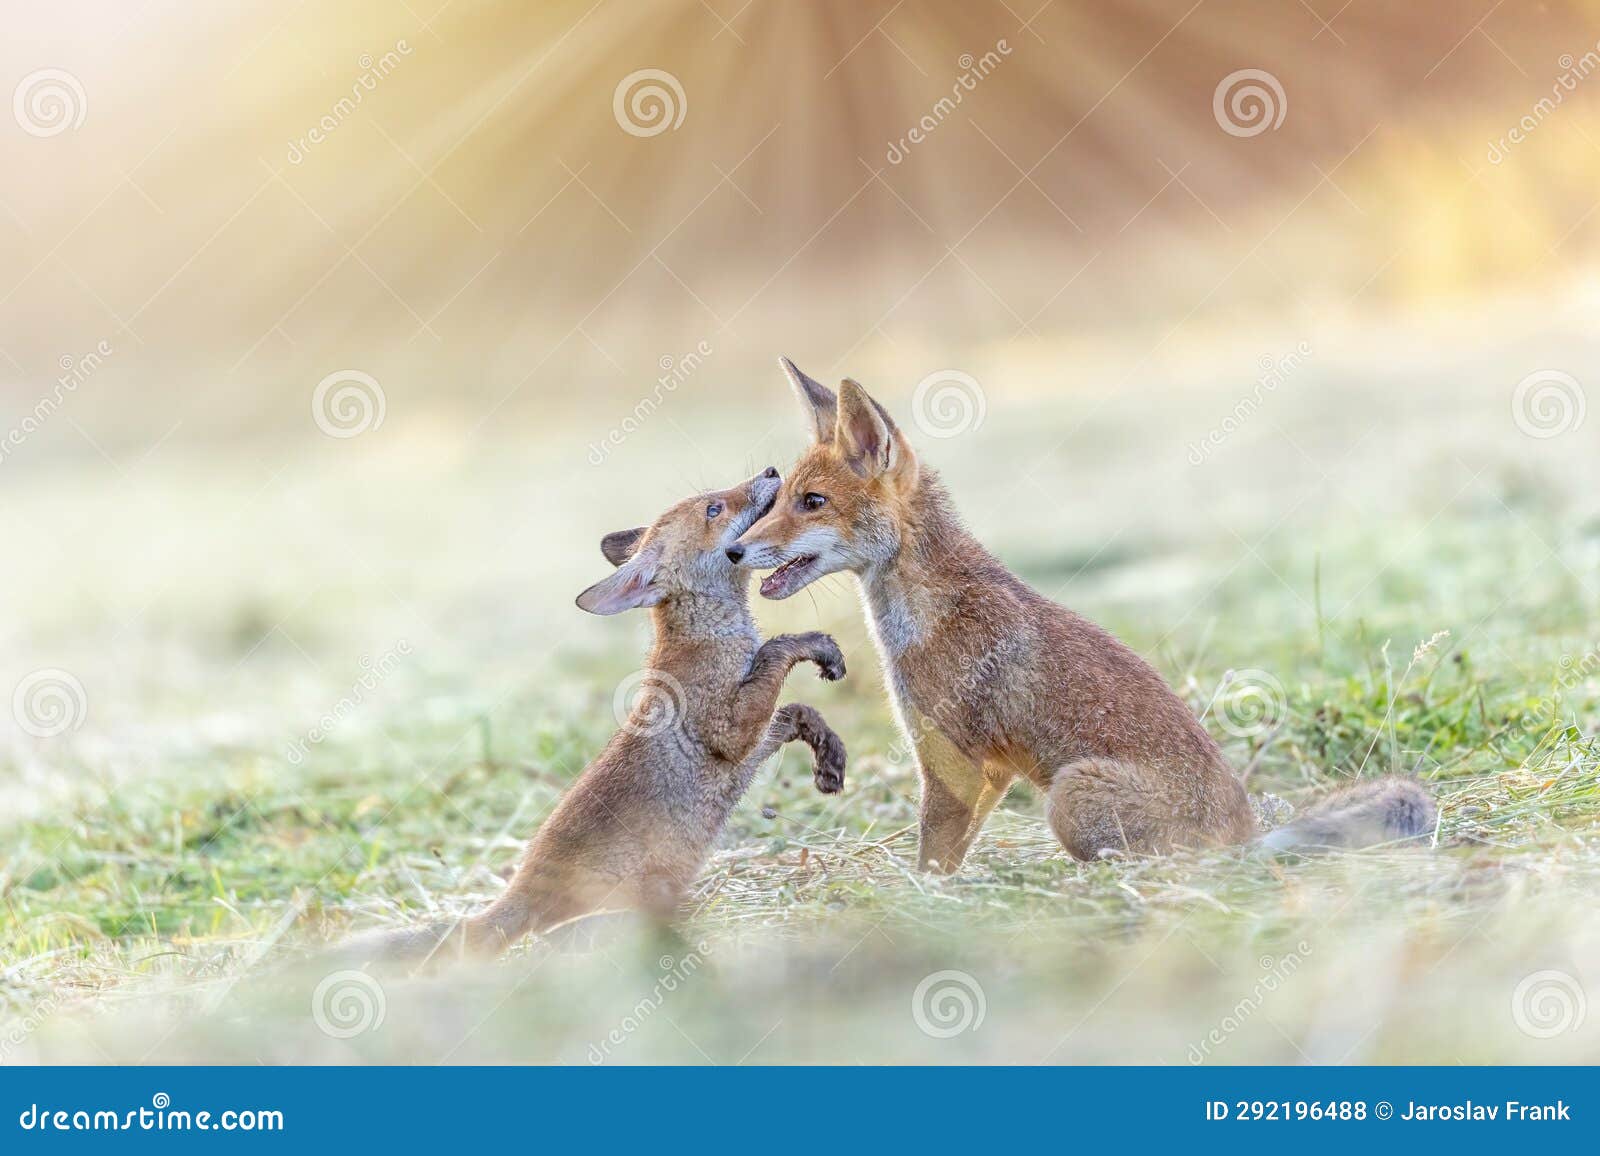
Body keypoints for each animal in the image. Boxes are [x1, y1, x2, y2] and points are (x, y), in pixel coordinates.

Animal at [347, 467, 848, 963]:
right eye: (713, 508)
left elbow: (795, 712)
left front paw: (829, 755)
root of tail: (517, 893)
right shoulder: (729, 732)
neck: (711, 638)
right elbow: (777, 650)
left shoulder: (748, 747)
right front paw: (814, 645)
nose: (771, 471)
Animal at [729, 358, 1435, 871]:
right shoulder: (988, 771)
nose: (735, 550)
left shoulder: (953, 760)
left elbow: (930, 859)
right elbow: (949, 857)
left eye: (811, 502)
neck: (925, 614)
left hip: (1070, 794)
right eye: (780, 499)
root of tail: (1244, 835)